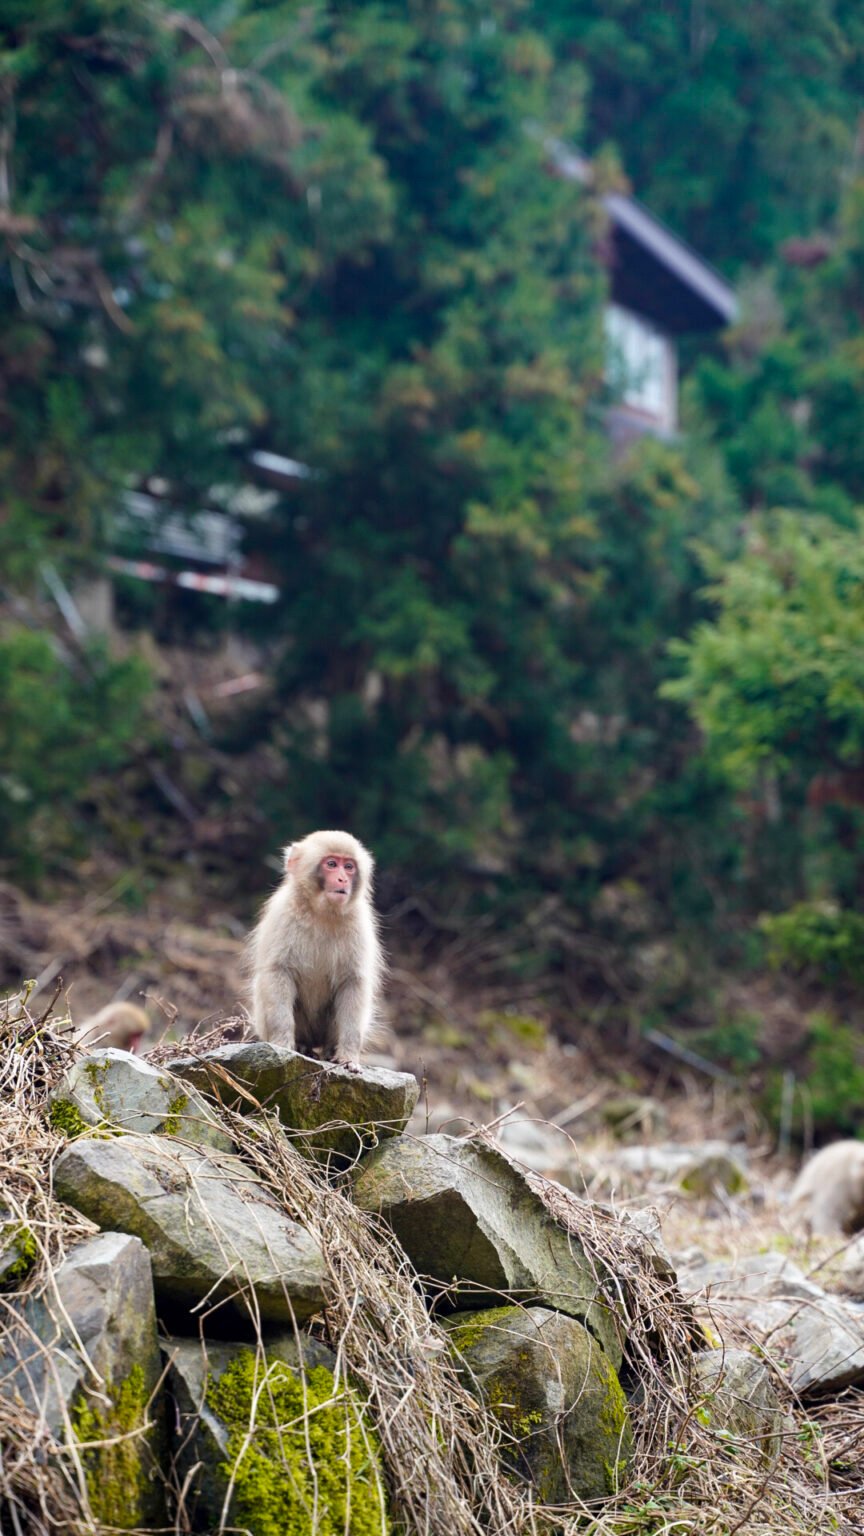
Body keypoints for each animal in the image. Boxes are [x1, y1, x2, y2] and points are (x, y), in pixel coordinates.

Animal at [248, 829, 383, 1071]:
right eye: (331, 864)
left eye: (349, 866)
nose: (342, 879)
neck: (322, 912)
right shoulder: (282, 913)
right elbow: (278, 971)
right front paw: (282, 1044)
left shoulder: (360, 924)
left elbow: (353, 982)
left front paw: (349, 1055)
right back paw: (302, 1046)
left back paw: (330, 1050)